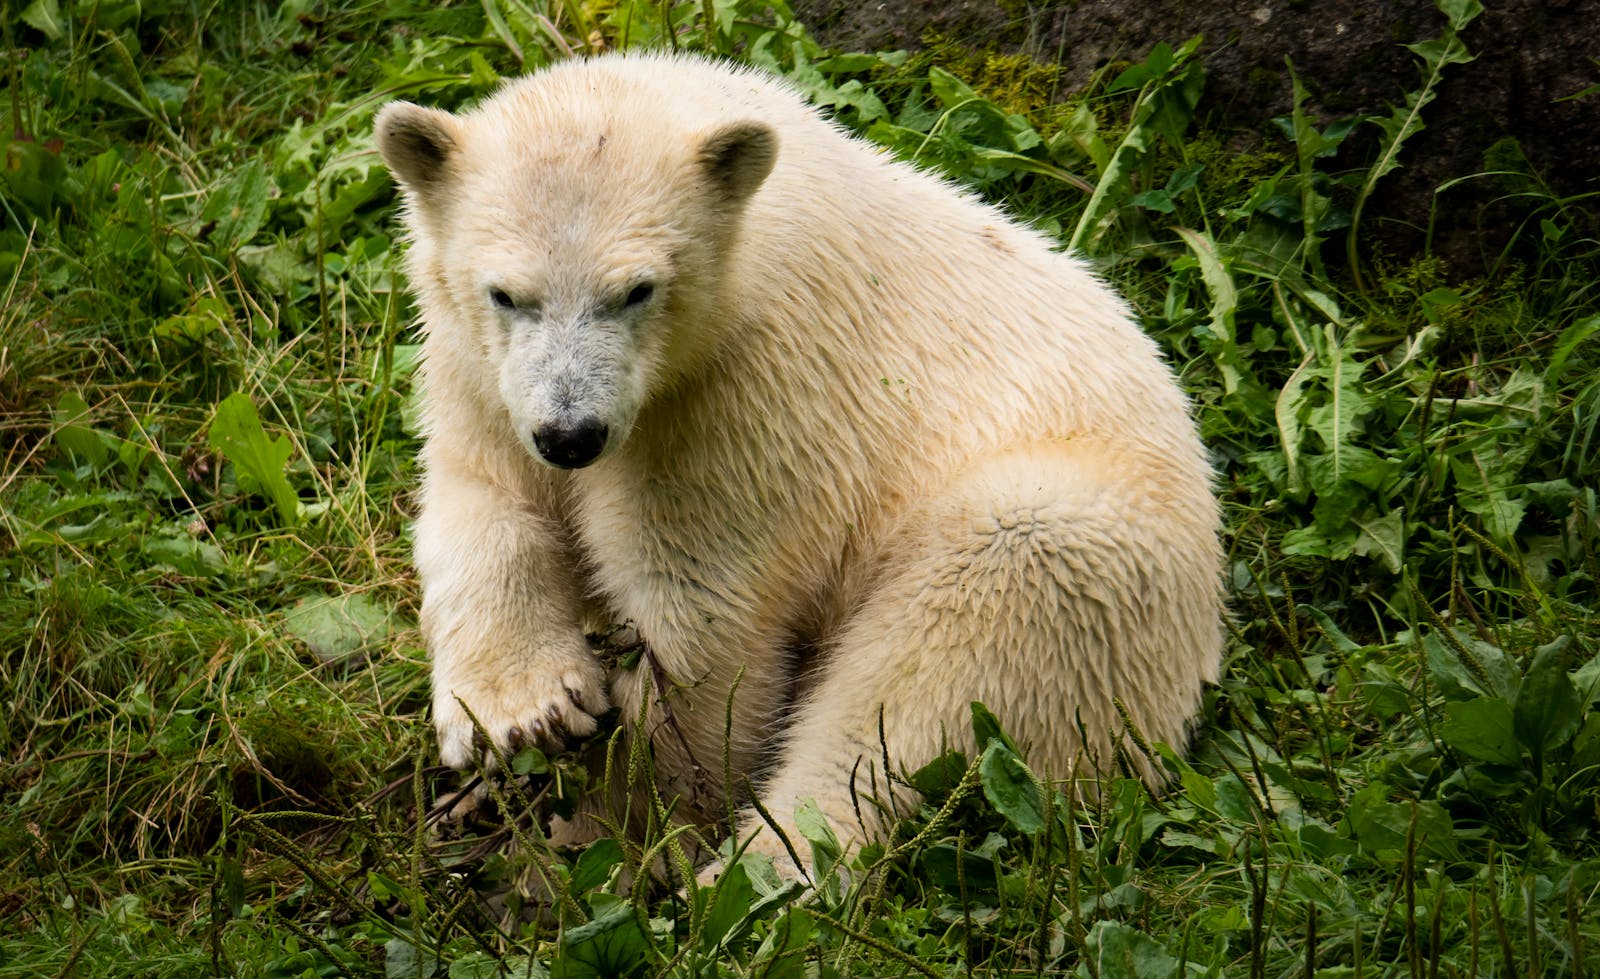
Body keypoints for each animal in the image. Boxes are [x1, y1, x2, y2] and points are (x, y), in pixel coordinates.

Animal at [374, 50, 1224, 881]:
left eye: (638, 290)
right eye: (505, 292)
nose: (571, 434)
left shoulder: (751, 390)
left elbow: (703, 608)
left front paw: (635, 830)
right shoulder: (480, 374)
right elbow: (484, 500)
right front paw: (523, 712)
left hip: (1064, 550)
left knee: (913, 696)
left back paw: (762, 869)